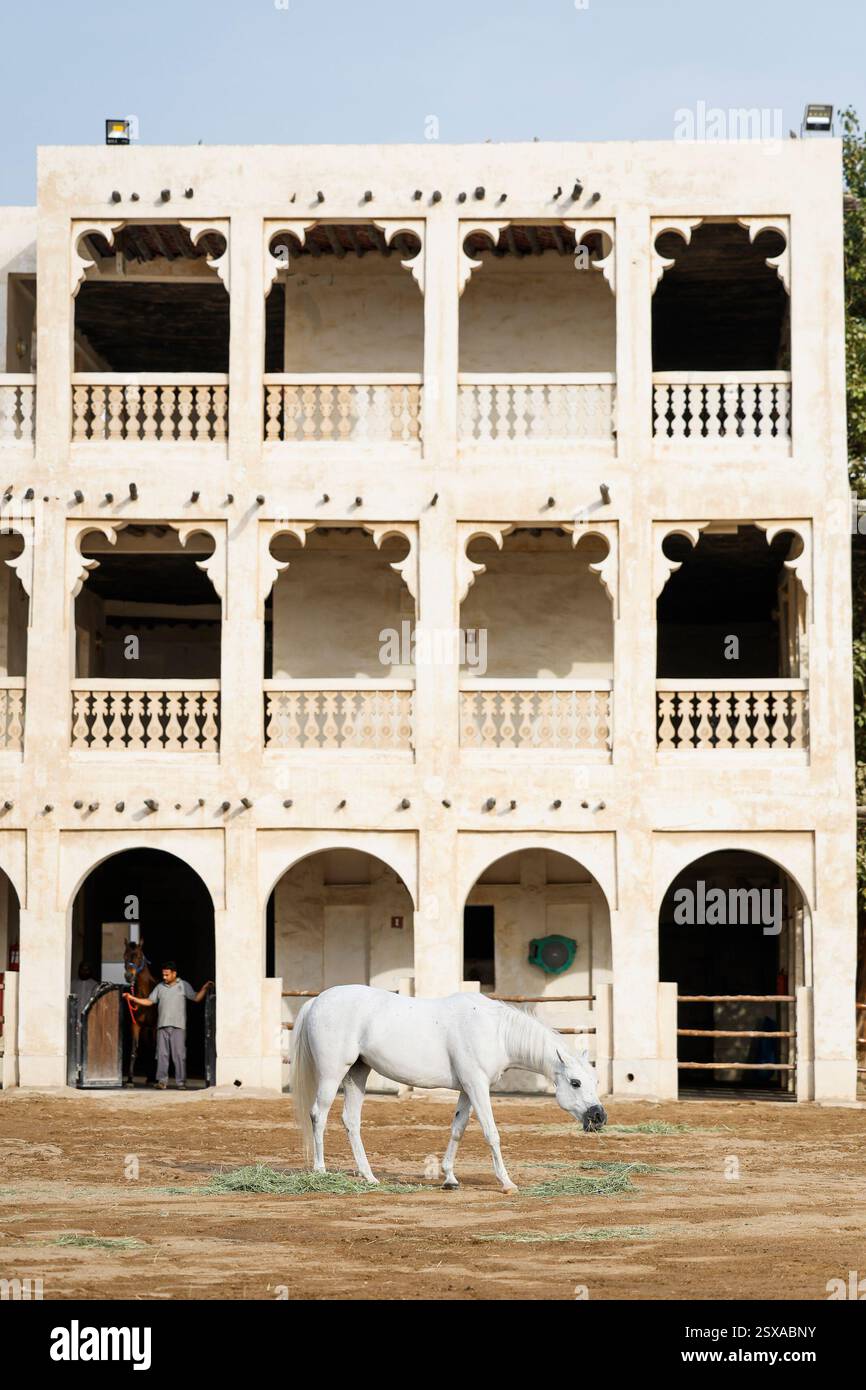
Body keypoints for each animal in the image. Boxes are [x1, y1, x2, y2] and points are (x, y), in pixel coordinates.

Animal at [291, 985, 607, 1192]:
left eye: (595, 1081)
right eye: (575, 1083)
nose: (599, 1116)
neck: (496, 1031)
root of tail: (316, 1001)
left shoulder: (467, 1088)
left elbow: (458, 1129)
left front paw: (450, 1178)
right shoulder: (477, 1086)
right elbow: (491, 1132)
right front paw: (506, 1182)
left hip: (358, 1072)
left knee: (351, 1121)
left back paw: (369, 1176)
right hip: (332, 1074)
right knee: (318, 1115)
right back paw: (320, 1171)